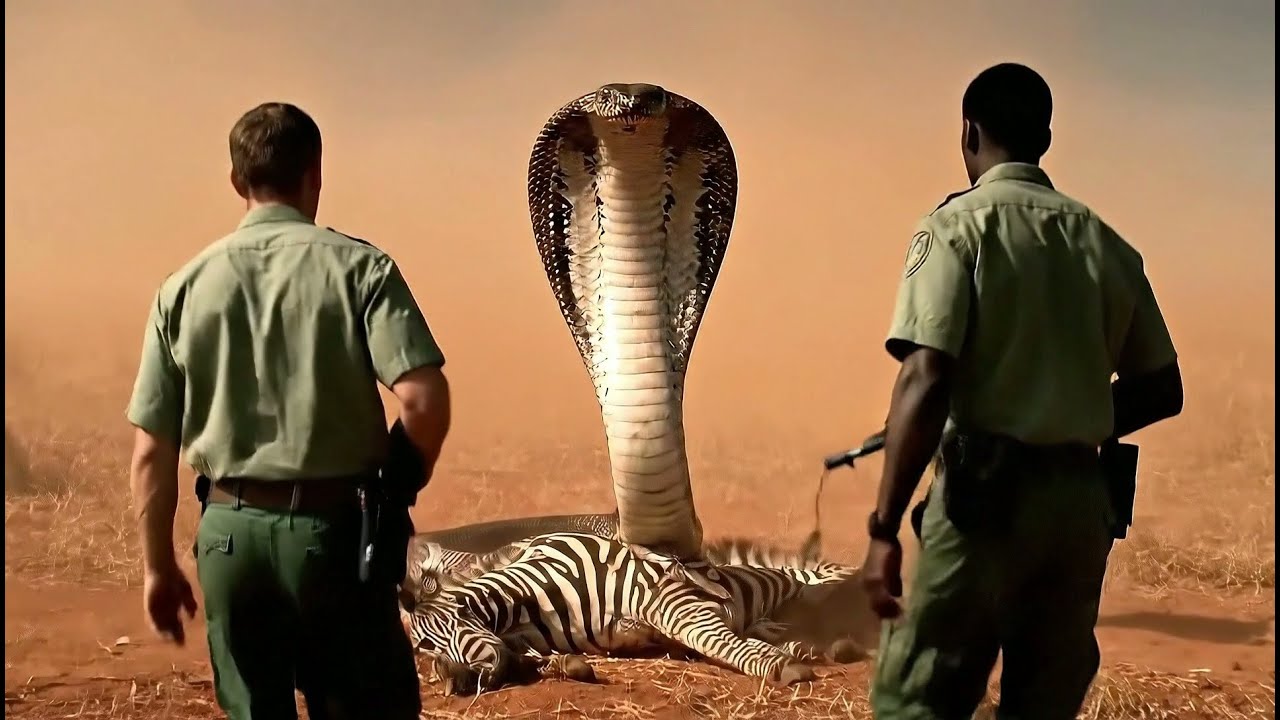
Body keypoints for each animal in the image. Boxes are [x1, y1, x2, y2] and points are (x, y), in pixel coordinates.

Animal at [405, 531, 859, 694]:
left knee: (818, 579)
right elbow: (543, 658)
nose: (487, 671)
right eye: (424, 647)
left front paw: (782, 668)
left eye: (462, 615)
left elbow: (712, 638)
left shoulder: (663, 594)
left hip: (791, 579)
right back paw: (817, 645)